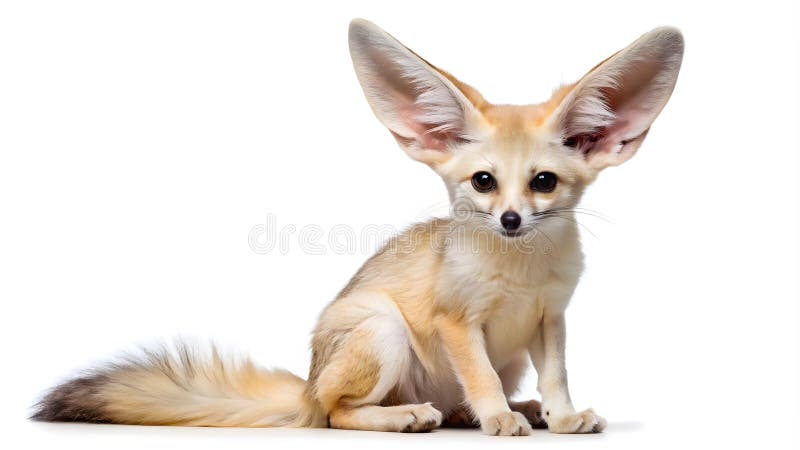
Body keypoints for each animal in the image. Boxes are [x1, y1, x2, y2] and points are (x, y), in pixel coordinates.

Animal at [32, 19, 683, 436]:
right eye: (483, 182)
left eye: (543, 182)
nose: (510, 219)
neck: (519, 273)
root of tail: (306, 384)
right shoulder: (457, 321)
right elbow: (480, 379)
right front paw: (499, 418)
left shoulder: (550, 319)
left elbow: (557, 378)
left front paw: (562, 416)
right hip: (383, 330)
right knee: (336, 414)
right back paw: (407, 416)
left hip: (503, 357)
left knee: (456, 403)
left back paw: (501, 410)